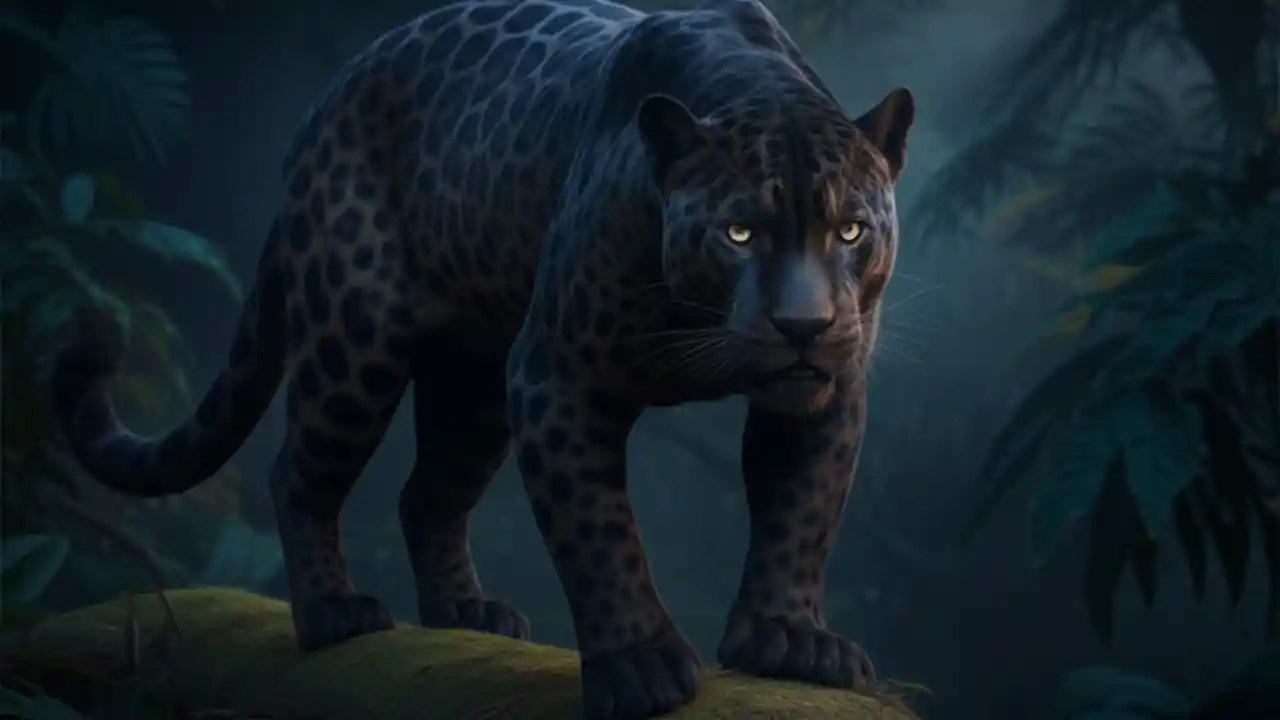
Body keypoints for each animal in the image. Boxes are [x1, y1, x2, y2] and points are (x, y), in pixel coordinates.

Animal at [52, 0, 914, 717]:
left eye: (849, 230)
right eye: (740, 232)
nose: (804, 325)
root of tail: (321, 110)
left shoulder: (827, 392)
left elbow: (799, 513)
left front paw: (786, 639)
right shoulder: (557, 376)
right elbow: (601, 532)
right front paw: (639, 666)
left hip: (472, 391)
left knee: (425, 495)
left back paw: (465, 613)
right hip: (354, 344)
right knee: (298, 470)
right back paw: (334, 614)